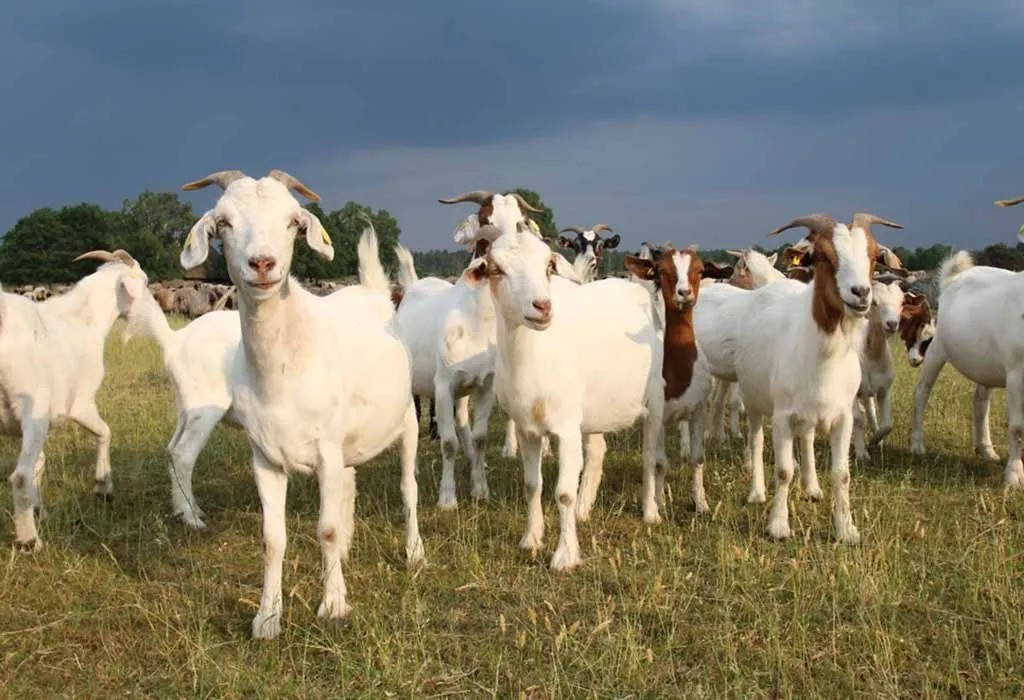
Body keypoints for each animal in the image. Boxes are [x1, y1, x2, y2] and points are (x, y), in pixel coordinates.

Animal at [6, 249, 147, 550]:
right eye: (144, 281)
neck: (85, 318)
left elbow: (40, 463)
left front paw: (39, 509)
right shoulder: (80, 404)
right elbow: (105, 432)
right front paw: (103, 487)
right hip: (32, 406)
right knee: (20, 476)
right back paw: (29, 541)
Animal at [179, 169, 423, 639]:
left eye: (293, 221)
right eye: (223, 223)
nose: (262, 263)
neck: (284, 365)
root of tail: (372, 291)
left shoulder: (326, 451)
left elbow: (324, 529)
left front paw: (333, 604)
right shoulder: (265, 458)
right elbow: (273, 538)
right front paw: (267, 617)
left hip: (407, 422)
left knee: (409, 489)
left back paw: (414, 551)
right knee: (349, 485)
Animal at [485, 195, 664, 570]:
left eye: (548, 266)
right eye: (496, 269)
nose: (542, 306)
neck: (532, 355)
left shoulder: (566, 427)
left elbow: (564, 494)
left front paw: (565, 556)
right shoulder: (527, 429)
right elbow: (532, 485)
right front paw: (531, 539)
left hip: (656, 400)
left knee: (649, 455)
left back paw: (650, 512)